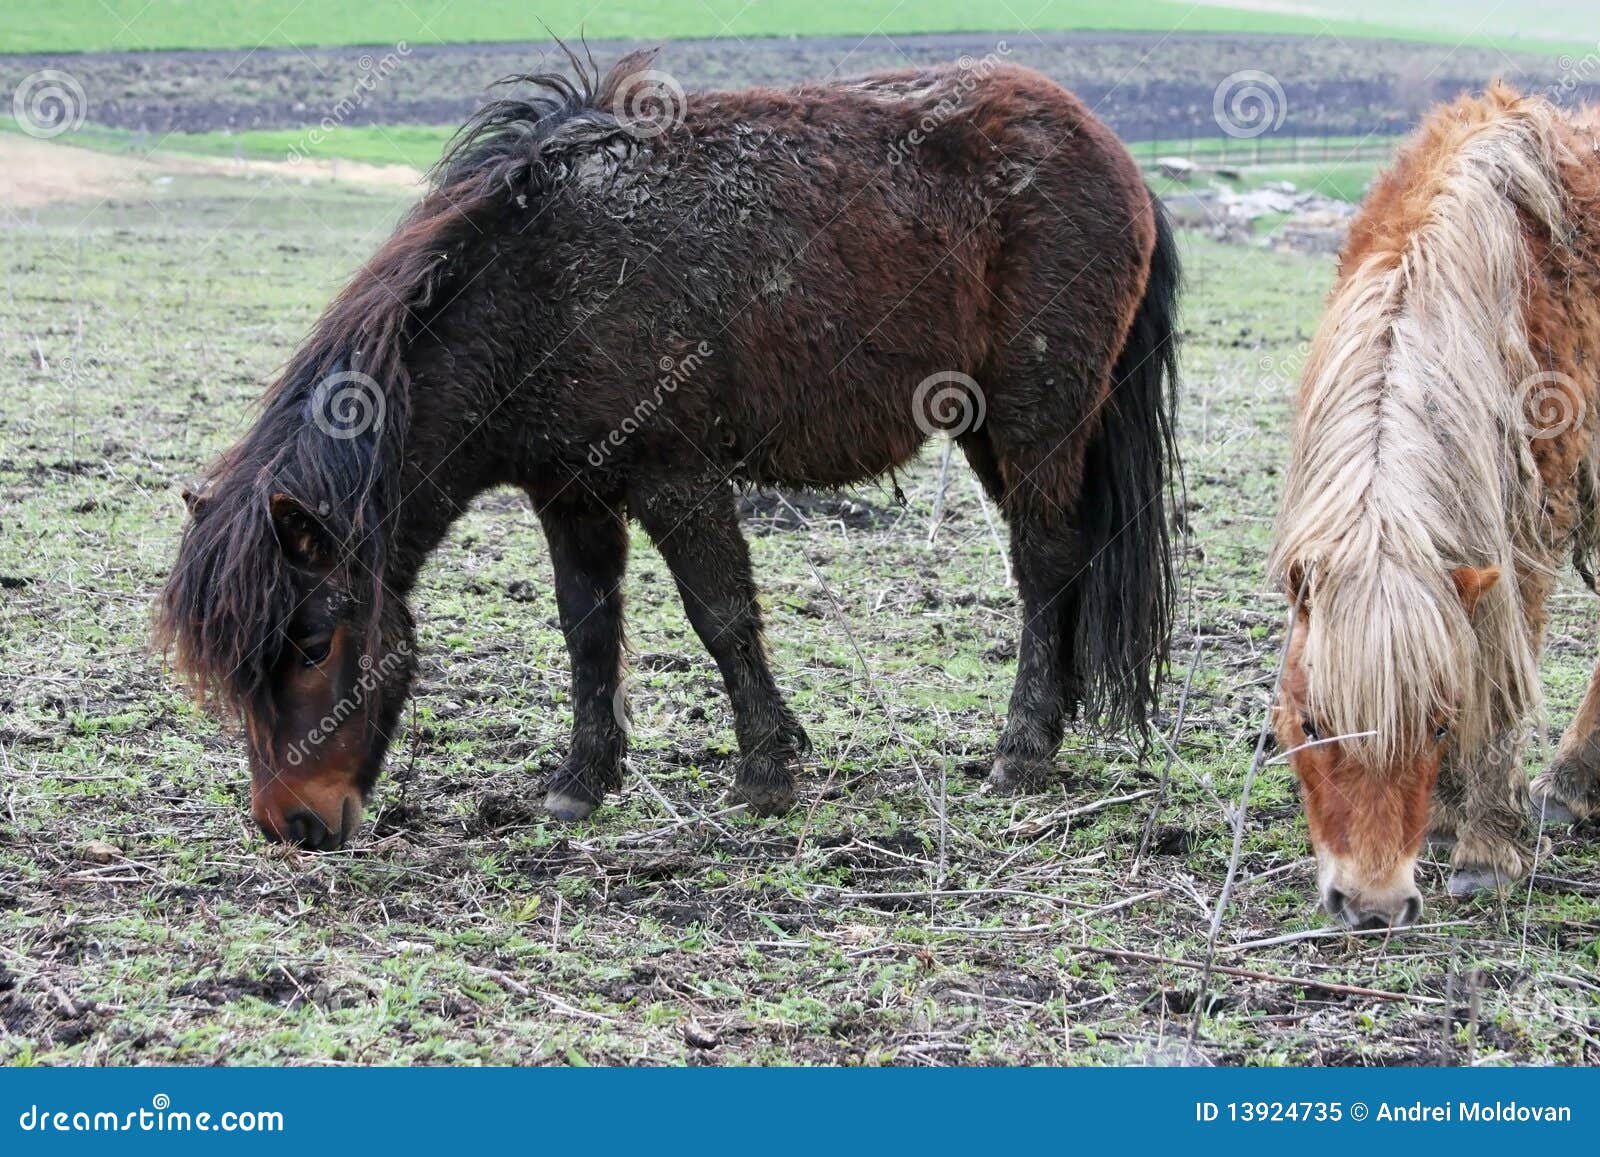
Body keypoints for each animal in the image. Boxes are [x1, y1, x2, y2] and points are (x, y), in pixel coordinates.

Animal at [155, 50, 1180, 850]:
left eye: (313, 643)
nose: (293, 824)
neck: (543, 288)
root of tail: (1116, 157)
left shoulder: (675, 475)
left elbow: (720, 616)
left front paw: (766, 773)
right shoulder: (569, 493)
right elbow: (587, 629)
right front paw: (580, 782)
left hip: (1037, 418)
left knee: (1043, 563)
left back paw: (1021, 751)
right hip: (989, 432)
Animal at [1272, 83, 1600, 928]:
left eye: (1440, 723)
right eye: (1312, 723)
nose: (1373, 903)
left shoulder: (1526, 536)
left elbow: (1501, 677)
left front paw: (1485, 846)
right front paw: (1452, 811)